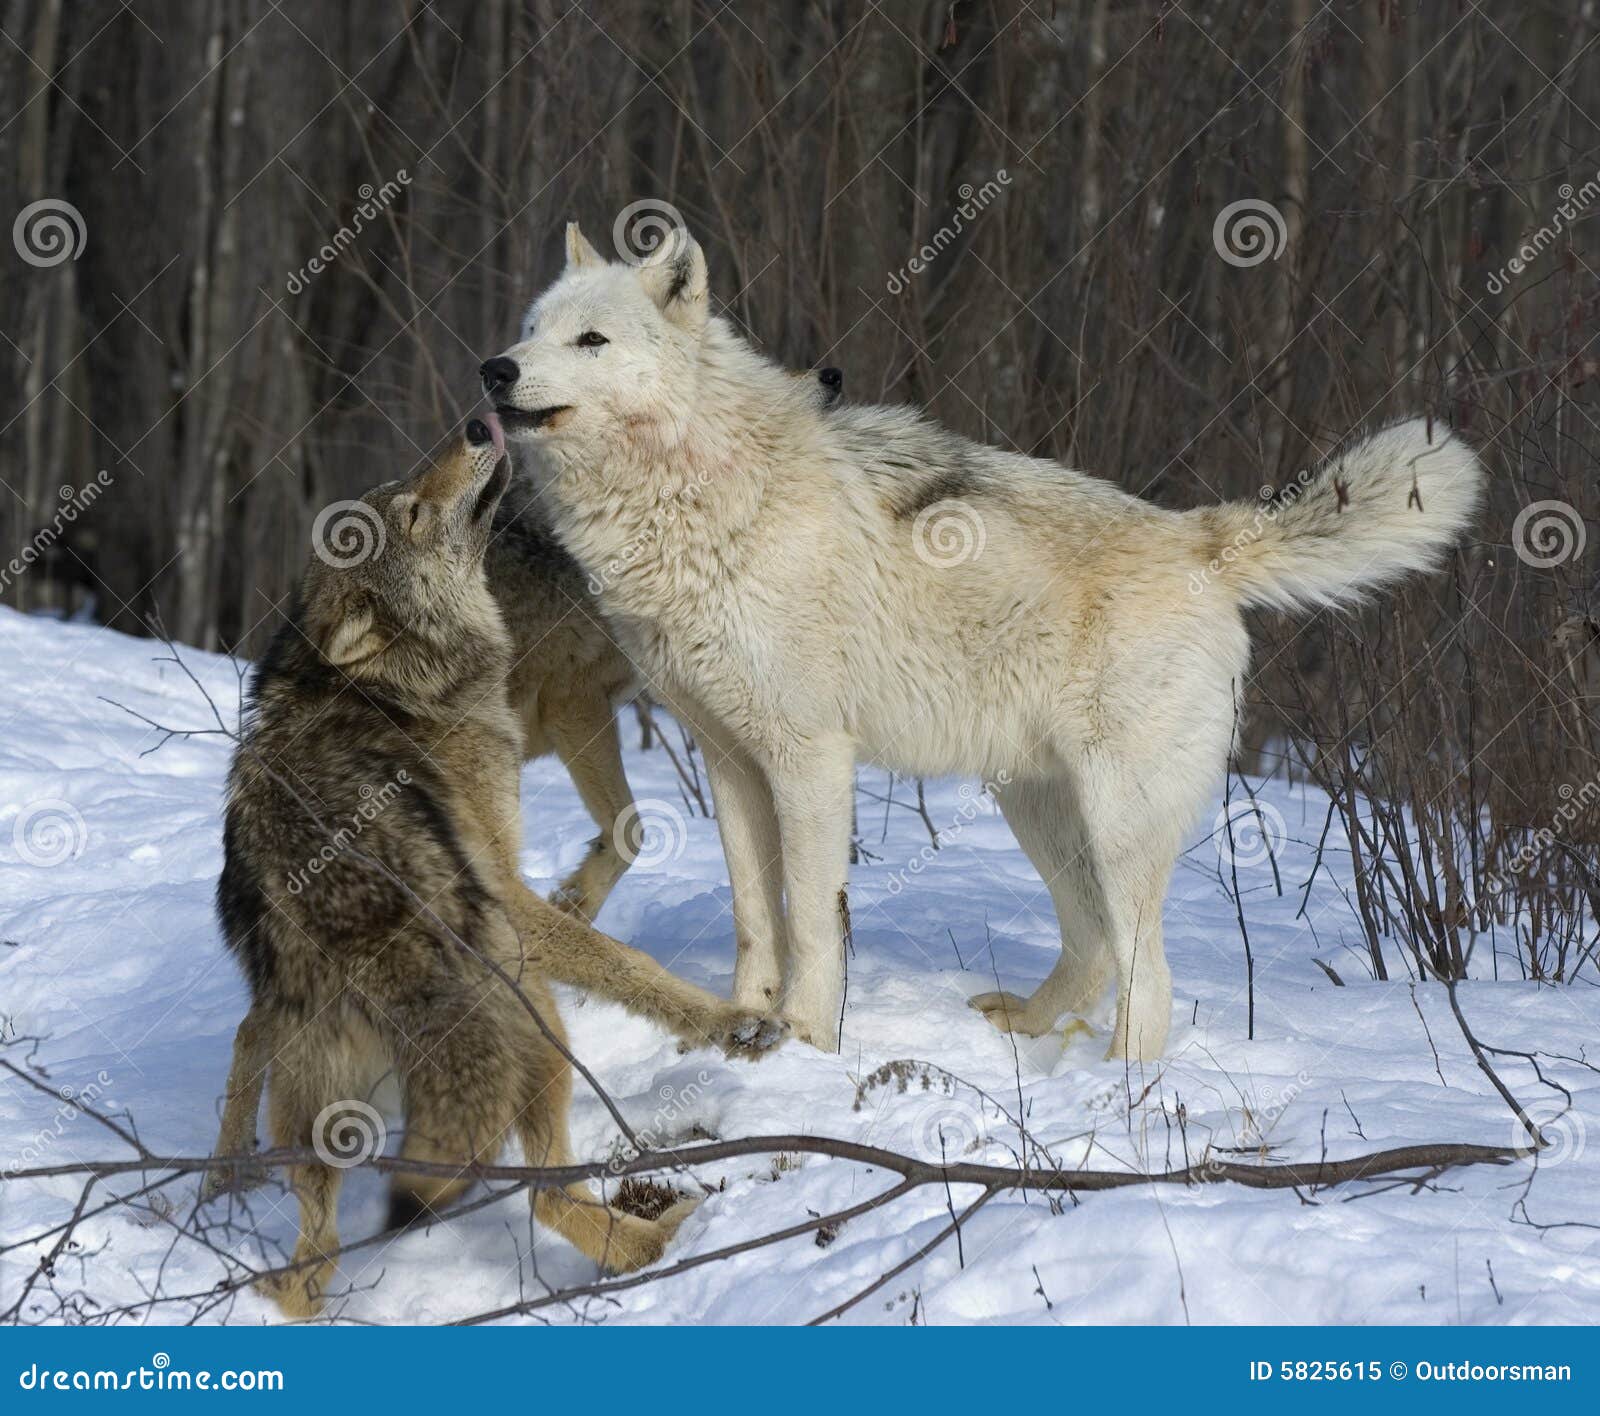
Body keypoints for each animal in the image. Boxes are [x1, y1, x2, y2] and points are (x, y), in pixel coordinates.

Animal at [209, 415, 785, 1317]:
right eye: (411, 514)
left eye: (402, 491)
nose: (477, 426)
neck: (399, 683)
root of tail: (376, 960)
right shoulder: (509, 882)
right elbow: (625, 960)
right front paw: (730, 1022)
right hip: (539, 1033)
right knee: (549, 1193)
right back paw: (664, 1238)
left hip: (320, 1112)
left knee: (311, 1263)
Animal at [480, 219, 1484, 1061]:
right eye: (531, 329)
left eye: (591, 341)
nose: (494, 368)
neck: (696, 493)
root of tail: (1203, 536)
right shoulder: (728, 758)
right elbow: (754, 919)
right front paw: (743, 1027)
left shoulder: (811, 758)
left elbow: (811, 922)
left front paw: (805, 1042)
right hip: (1035, 807)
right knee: (1093, 947)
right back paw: (1030, 1033)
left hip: (1115, 822)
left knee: (1148, 976)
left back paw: (1118, 1100)